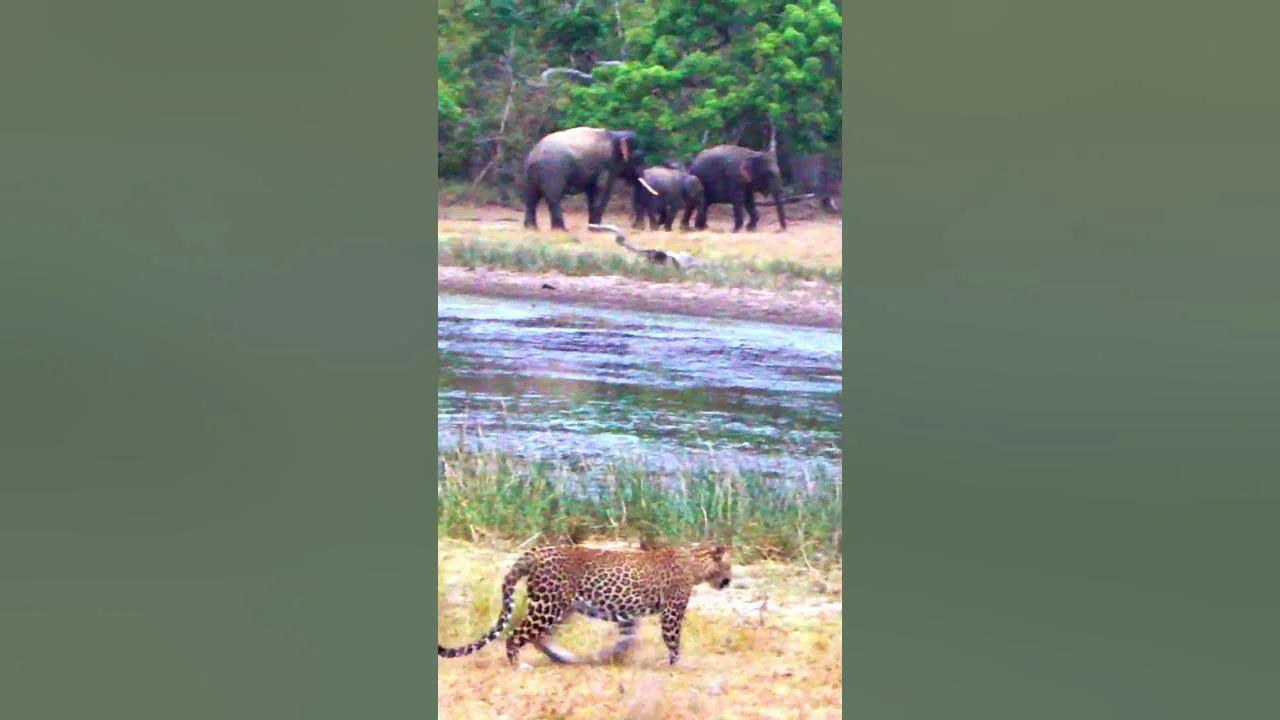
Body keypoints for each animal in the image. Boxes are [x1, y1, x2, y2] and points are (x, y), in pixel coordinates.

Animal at [437, 543, 732, 666]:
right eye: (728, 565)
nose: (729, 580)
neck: (695, 562)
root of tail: (535, 551)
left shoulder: (628, 612)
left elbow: (629, 635)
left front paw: (614, 655)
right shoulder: (672, 611)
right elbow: (673, 639)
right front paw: (677, 664)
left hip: (562, 608)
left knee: (539, 637)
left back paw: (564, 658)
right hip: (549, 605)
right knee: (516, 634)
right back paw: (518, 665)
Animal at [522, 127, 659, 230]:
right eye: (638, 157)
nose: (636, 227)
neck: (616, 135)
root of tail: (534, 155)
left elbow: (592, 192)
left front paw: (593, 227)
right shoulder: (605, 165)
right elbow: (602, 192)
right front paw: (596, 229)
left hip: (530, 174)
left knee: (531, 197)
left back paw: (531, 228)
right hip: (554, 171)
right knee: (553, 197)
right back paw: (561, 229)